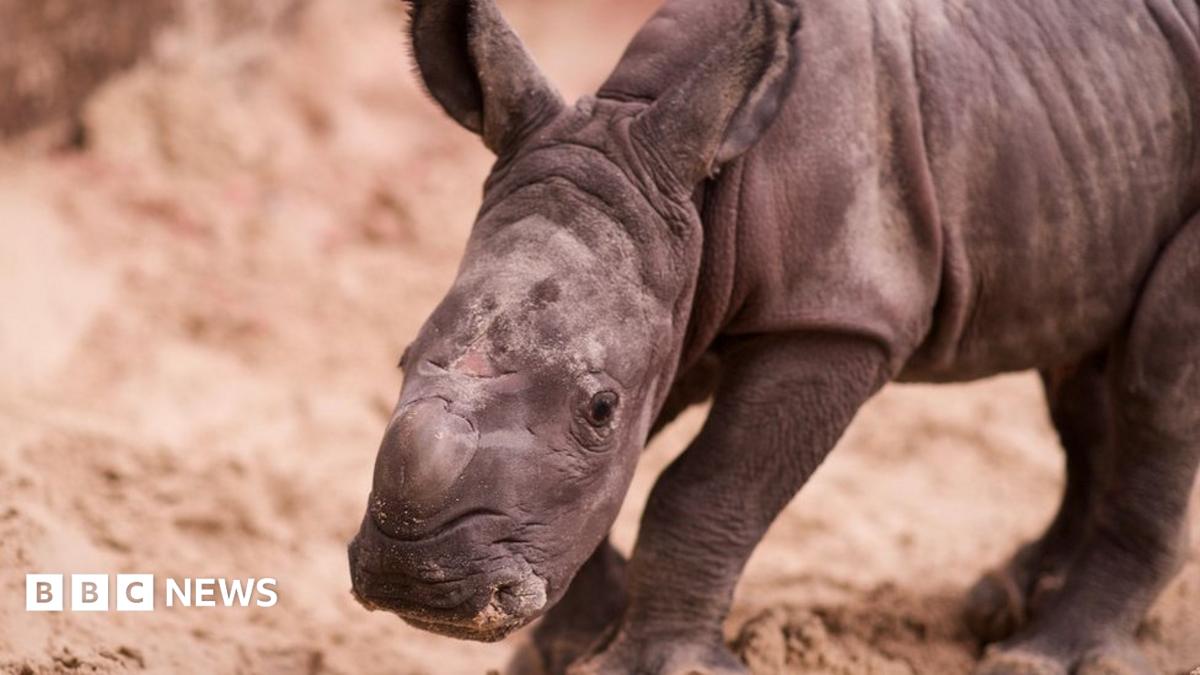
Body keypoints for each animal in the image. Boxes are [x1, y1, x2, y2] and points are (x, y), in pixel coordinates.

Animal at [347, 0, 1200, 672]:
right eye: (400, 358)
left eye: (599, 407)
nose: (415, 581)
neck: (694, 192)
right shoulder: (677, 305)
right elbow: (593, 488)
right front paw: (564, 652)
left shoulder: (835, 319)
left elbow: (706, 487)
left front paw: (653, 663)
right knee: (1084, 371)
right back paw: (1011, 598)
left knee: (1157, 376)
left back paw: (1041, 656)